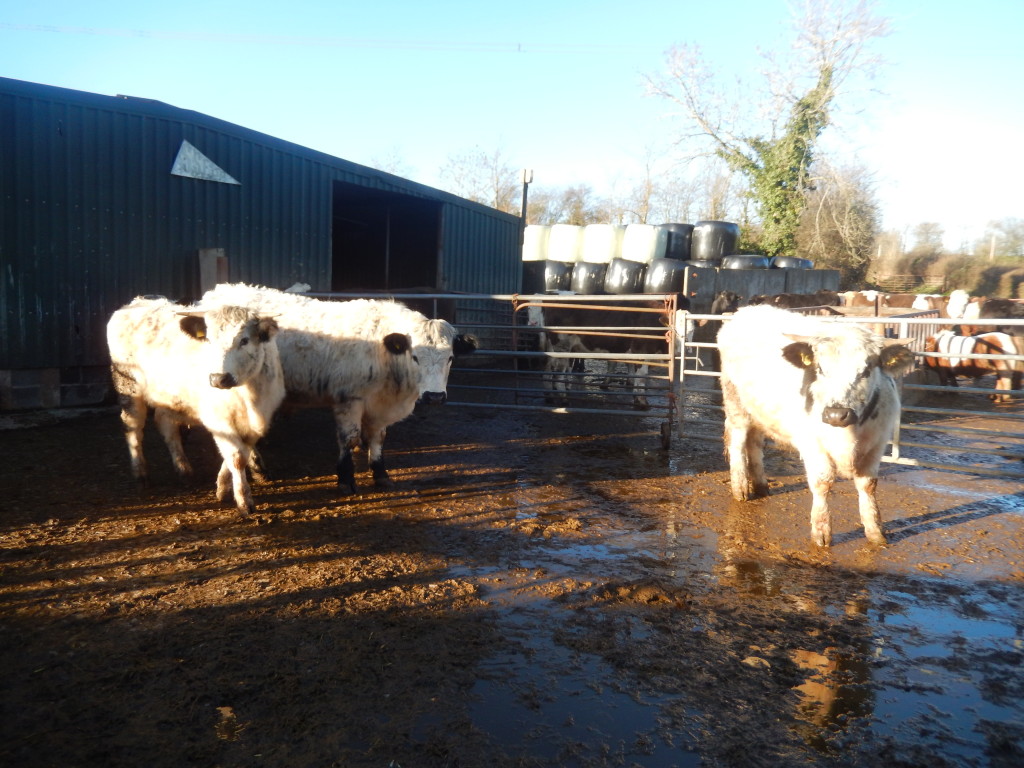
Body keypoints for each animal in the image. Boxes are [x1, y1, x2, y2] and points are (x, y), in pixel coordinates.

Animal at [106, 297, 285, 514]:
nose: (218, 378)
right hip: (128, 387)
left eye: (244, 340)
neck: (249, 395)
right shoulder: (219, 419)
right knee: (134, 429)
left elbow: (241, 450)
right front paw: (243, 500)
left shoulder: (260, 418)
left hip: (168, 396)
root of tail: (136, 303)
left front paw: (223, 486)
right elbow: (236, 456)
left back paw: (183, 469)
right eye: (209, 340)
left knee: (166, 425)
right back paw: (141, 474)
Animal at [201, 283, 478, 494]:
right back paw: (257, 466)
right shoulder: (349, 399)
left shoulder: (379, 406)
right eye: (415, 357)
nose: (434, 397)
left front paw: (381, 474)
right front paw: (345, 479)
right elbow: (350, 438)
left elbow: (377, 438)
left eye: (450, 357)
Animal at [717, 305, 915, 547]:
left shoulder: (877, 442)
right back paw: (741, 489)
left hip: (759, 410)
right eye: (820, 368)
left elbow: (868, 484)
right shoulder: (812, 443)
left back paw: (761, 485)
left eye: (866, 370)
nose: (836, 414)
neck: (848, 435)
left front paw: (875, 532)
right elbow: (822, 482)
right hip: (736, 404)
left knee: (754, 443)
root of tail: (749, 309)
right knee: (737, 443)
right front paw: (821, 532)